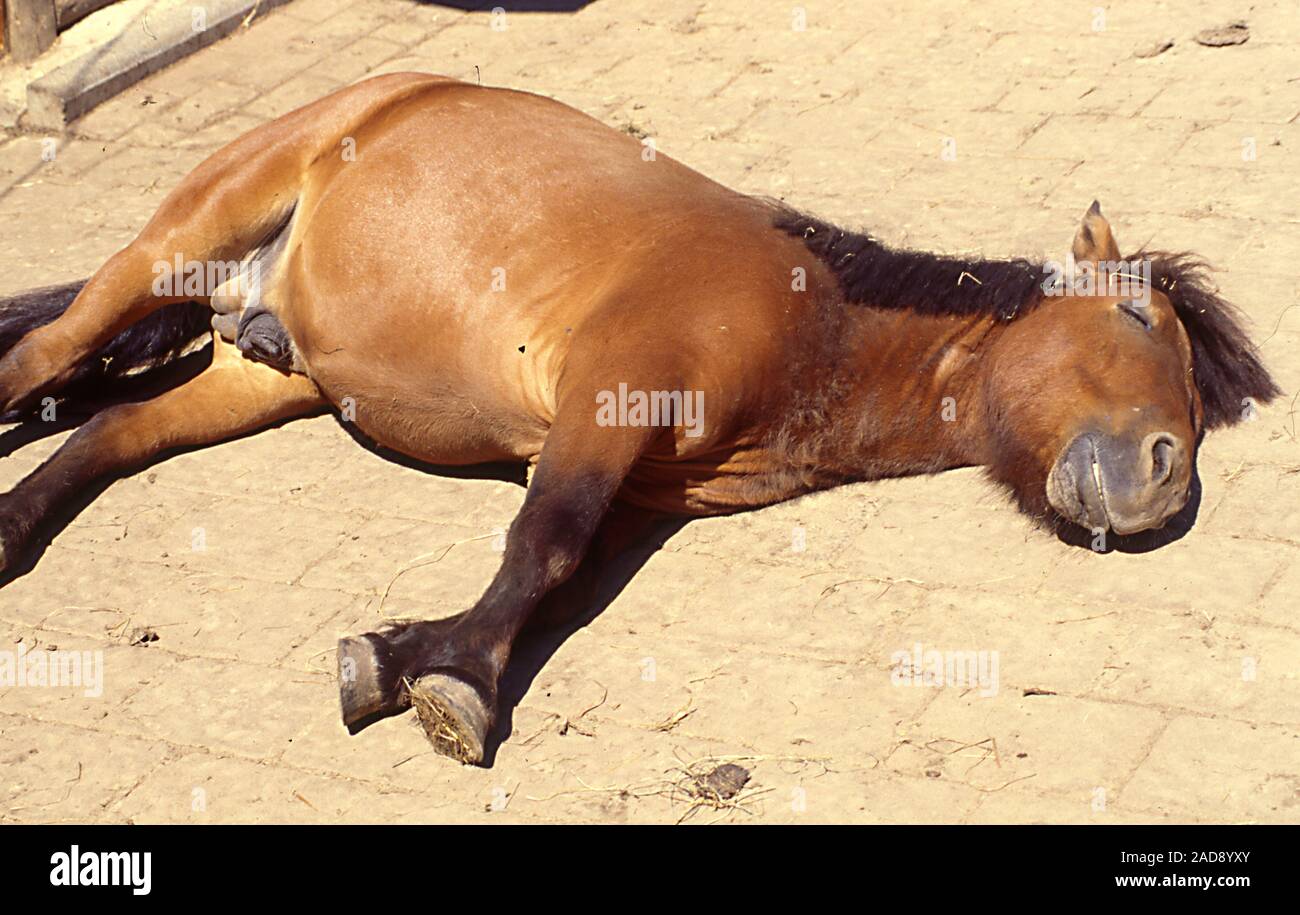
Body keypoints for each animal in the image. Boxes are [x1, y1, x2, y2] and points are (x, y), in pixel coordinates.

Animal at [0, 73, 1278, 765]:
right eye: (1137, 319)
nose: (1164, 477)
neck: (810, 318)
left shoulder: (639, 482)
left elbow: (554, 570)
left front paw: (405, 654)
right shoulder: (610, 395)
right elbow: (542, 542)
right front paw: (458, 684)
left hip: (280, 374)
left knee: (109, 434)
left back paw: (18, 524)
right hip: (185, 233)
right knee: (43, 358)